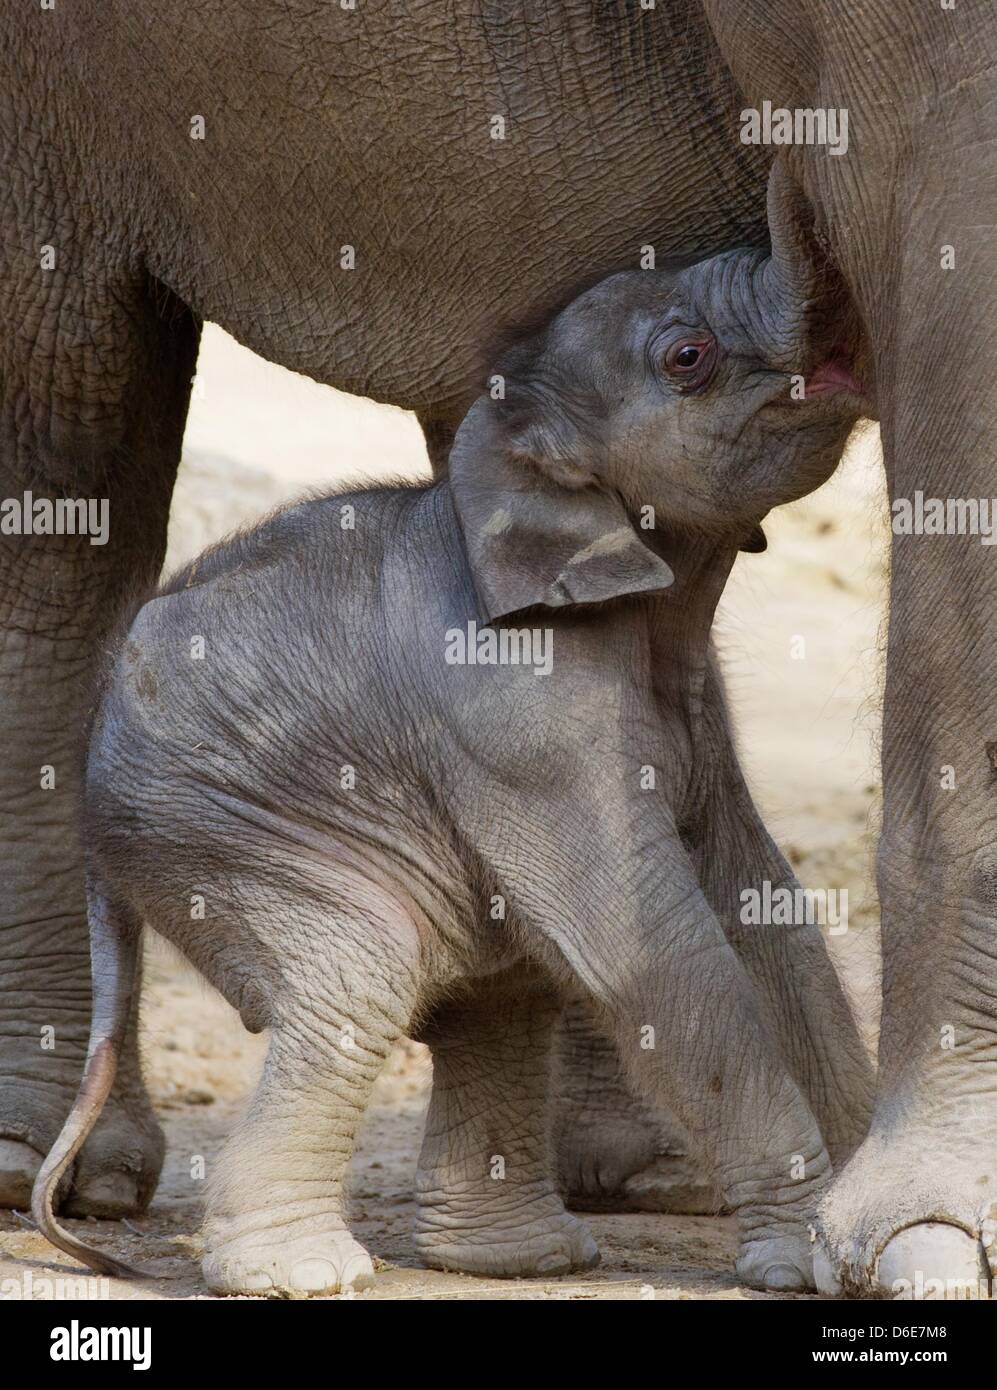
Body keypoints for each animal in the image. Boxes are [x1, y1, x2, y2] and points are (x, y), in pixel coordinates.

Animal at [34, 228, 871, 1294]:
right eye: (688, 358)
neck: (504, 448)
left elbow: (762, 907)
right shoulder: (524, 711)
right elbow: (653, 950)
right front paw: (807, 1258)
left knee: (498, 990)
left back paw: (521, 1259)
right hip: (212, 833)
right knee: (363, 969)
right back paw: (306, 1273)